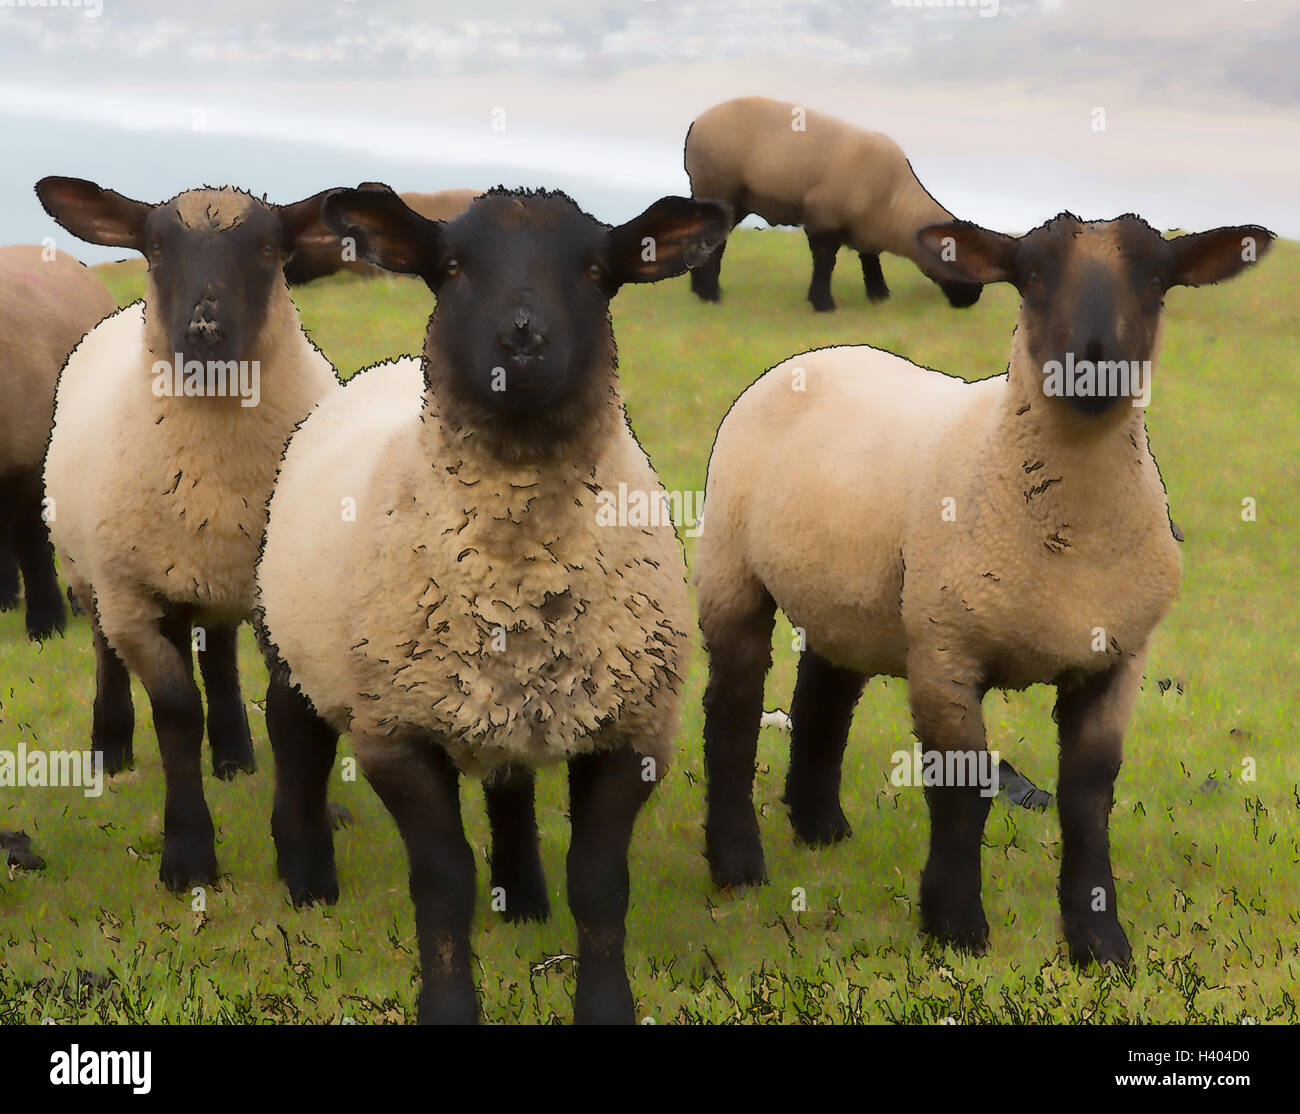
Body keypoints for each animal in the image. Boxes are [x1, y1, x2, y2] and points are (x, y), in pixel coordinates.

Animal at [35, 176, 344, 891]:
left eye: (269, 249)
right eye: (153, 248)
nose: (204, 332)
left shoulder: (281, 594)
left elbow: (288, 715)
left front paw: (306, 857)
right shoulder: (136, 600)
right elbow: (177, 715)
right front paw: (188, 858)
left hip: (220, 579)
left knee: (221, 653)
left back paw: (234, 756)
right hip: (92, 571)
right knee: (105, 648)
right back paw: (111, 747)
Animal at [684, 95, 983, 312]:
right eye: (958, 259)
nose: (972, 299)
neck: (894, 203)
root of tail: (697, 124)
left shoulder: (867, 228)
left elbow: (870, 260)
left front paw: (879, 296)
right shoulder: (823, 217)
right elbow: (825, 261)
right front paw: (822, 303)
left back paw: (701, 292)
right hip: (719, 188)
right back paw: (710, 296)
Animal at [694, 211, 1272, 965]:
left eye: (1156, 278)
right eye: (1030, 275)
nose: (1094, 364)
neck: (1071, 542)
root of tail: (821, 352)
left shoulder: (1118, 657)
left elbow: (1088, 794)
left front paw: (1099, 942)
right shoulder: (946, 651)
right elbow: (962, 789)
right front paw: (955, 925)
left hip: (853, 594)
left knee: (823, 695)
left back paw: (821, 828)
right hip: (731, 563)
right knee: (731, 708)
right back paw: (738, 862)